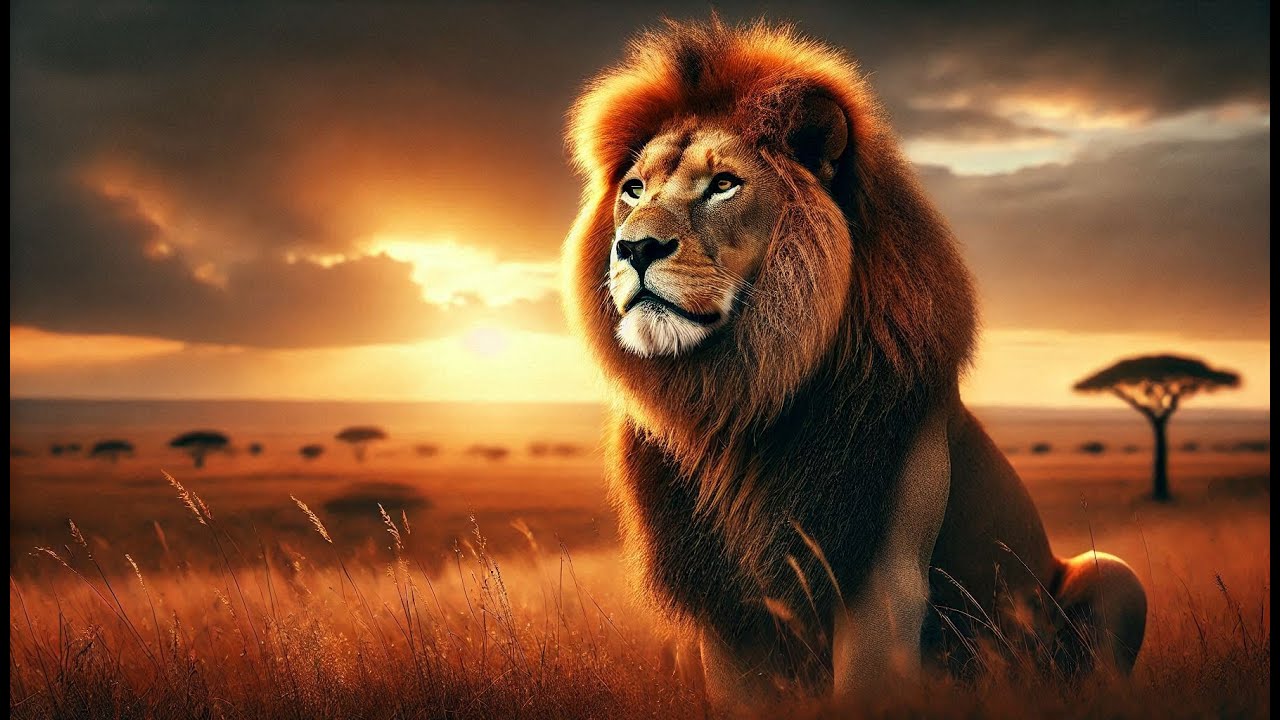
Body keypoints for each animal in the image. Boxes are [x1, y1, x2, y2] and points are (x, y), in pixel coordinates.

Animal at [562, 18, 1147, 708]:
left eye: (723, 184)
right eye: (633, 190)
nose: (634, 247)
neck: (738, 404)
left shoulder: (884, 578)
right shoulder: (725, 603)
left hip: (1112, 574)